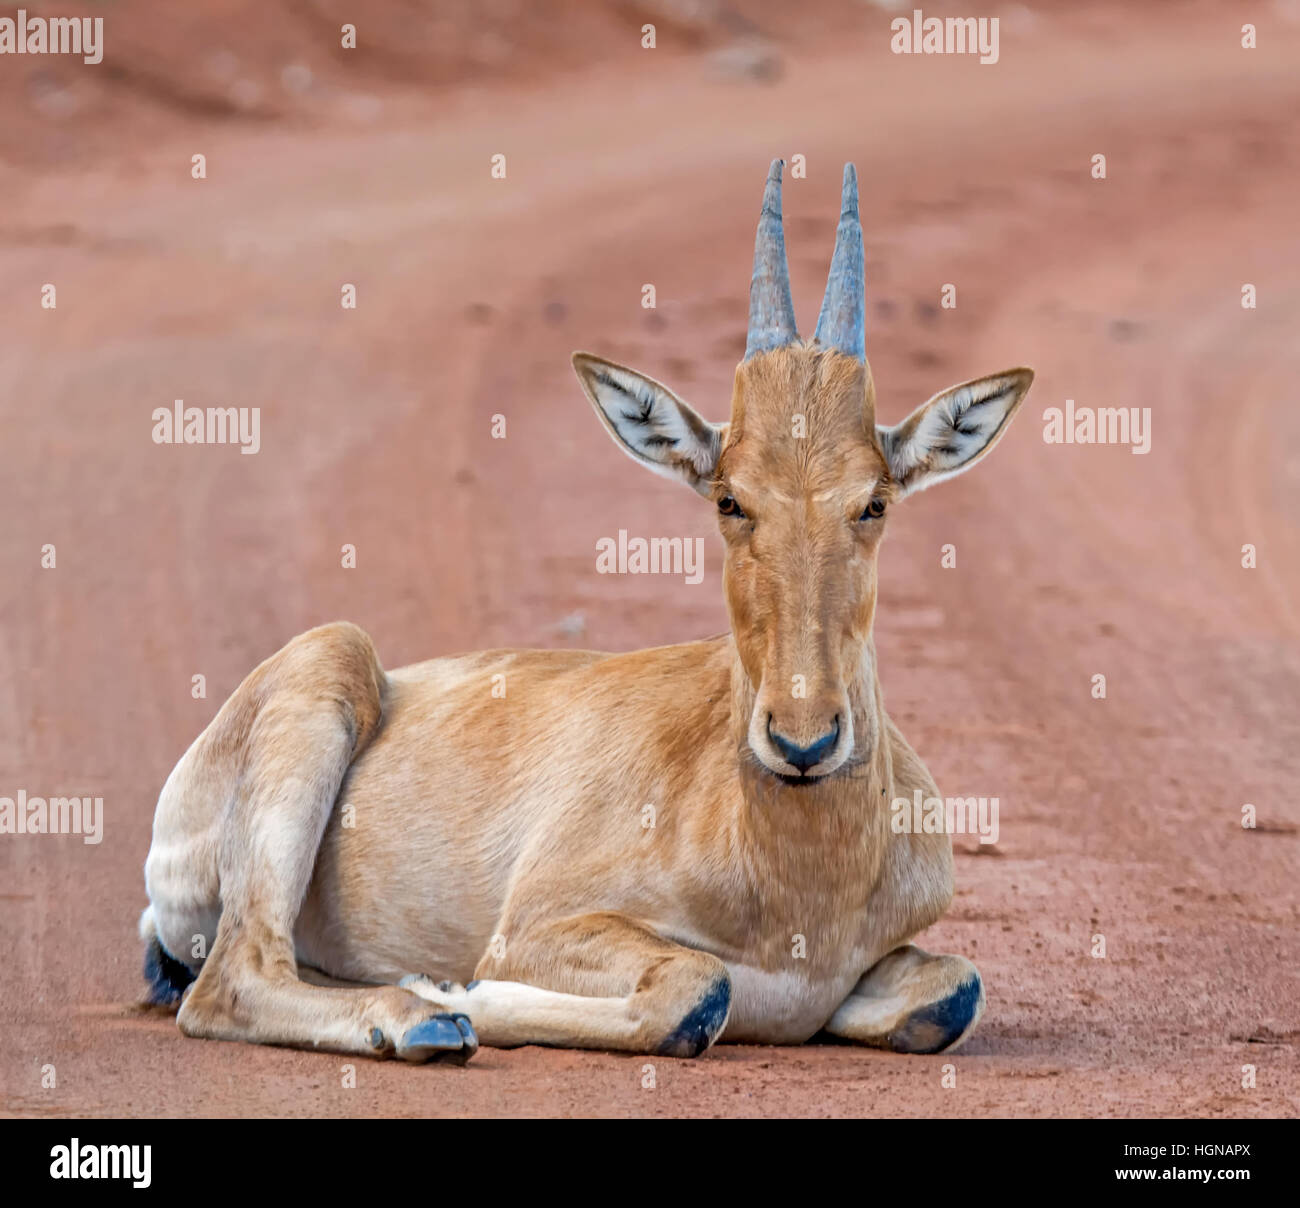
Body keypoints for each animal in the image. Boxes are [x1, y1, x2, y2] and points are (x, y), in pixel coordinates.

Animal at [140, 161, 1032, 1064]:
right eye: (729, 498)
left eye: (874, 501)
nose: (803, 741)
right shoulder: (537, 926)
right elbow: (695, 988)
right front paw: (452, 989)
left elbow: (955, 988)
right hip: (327, 670)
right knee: (230, 981)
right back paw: (420, 1014)